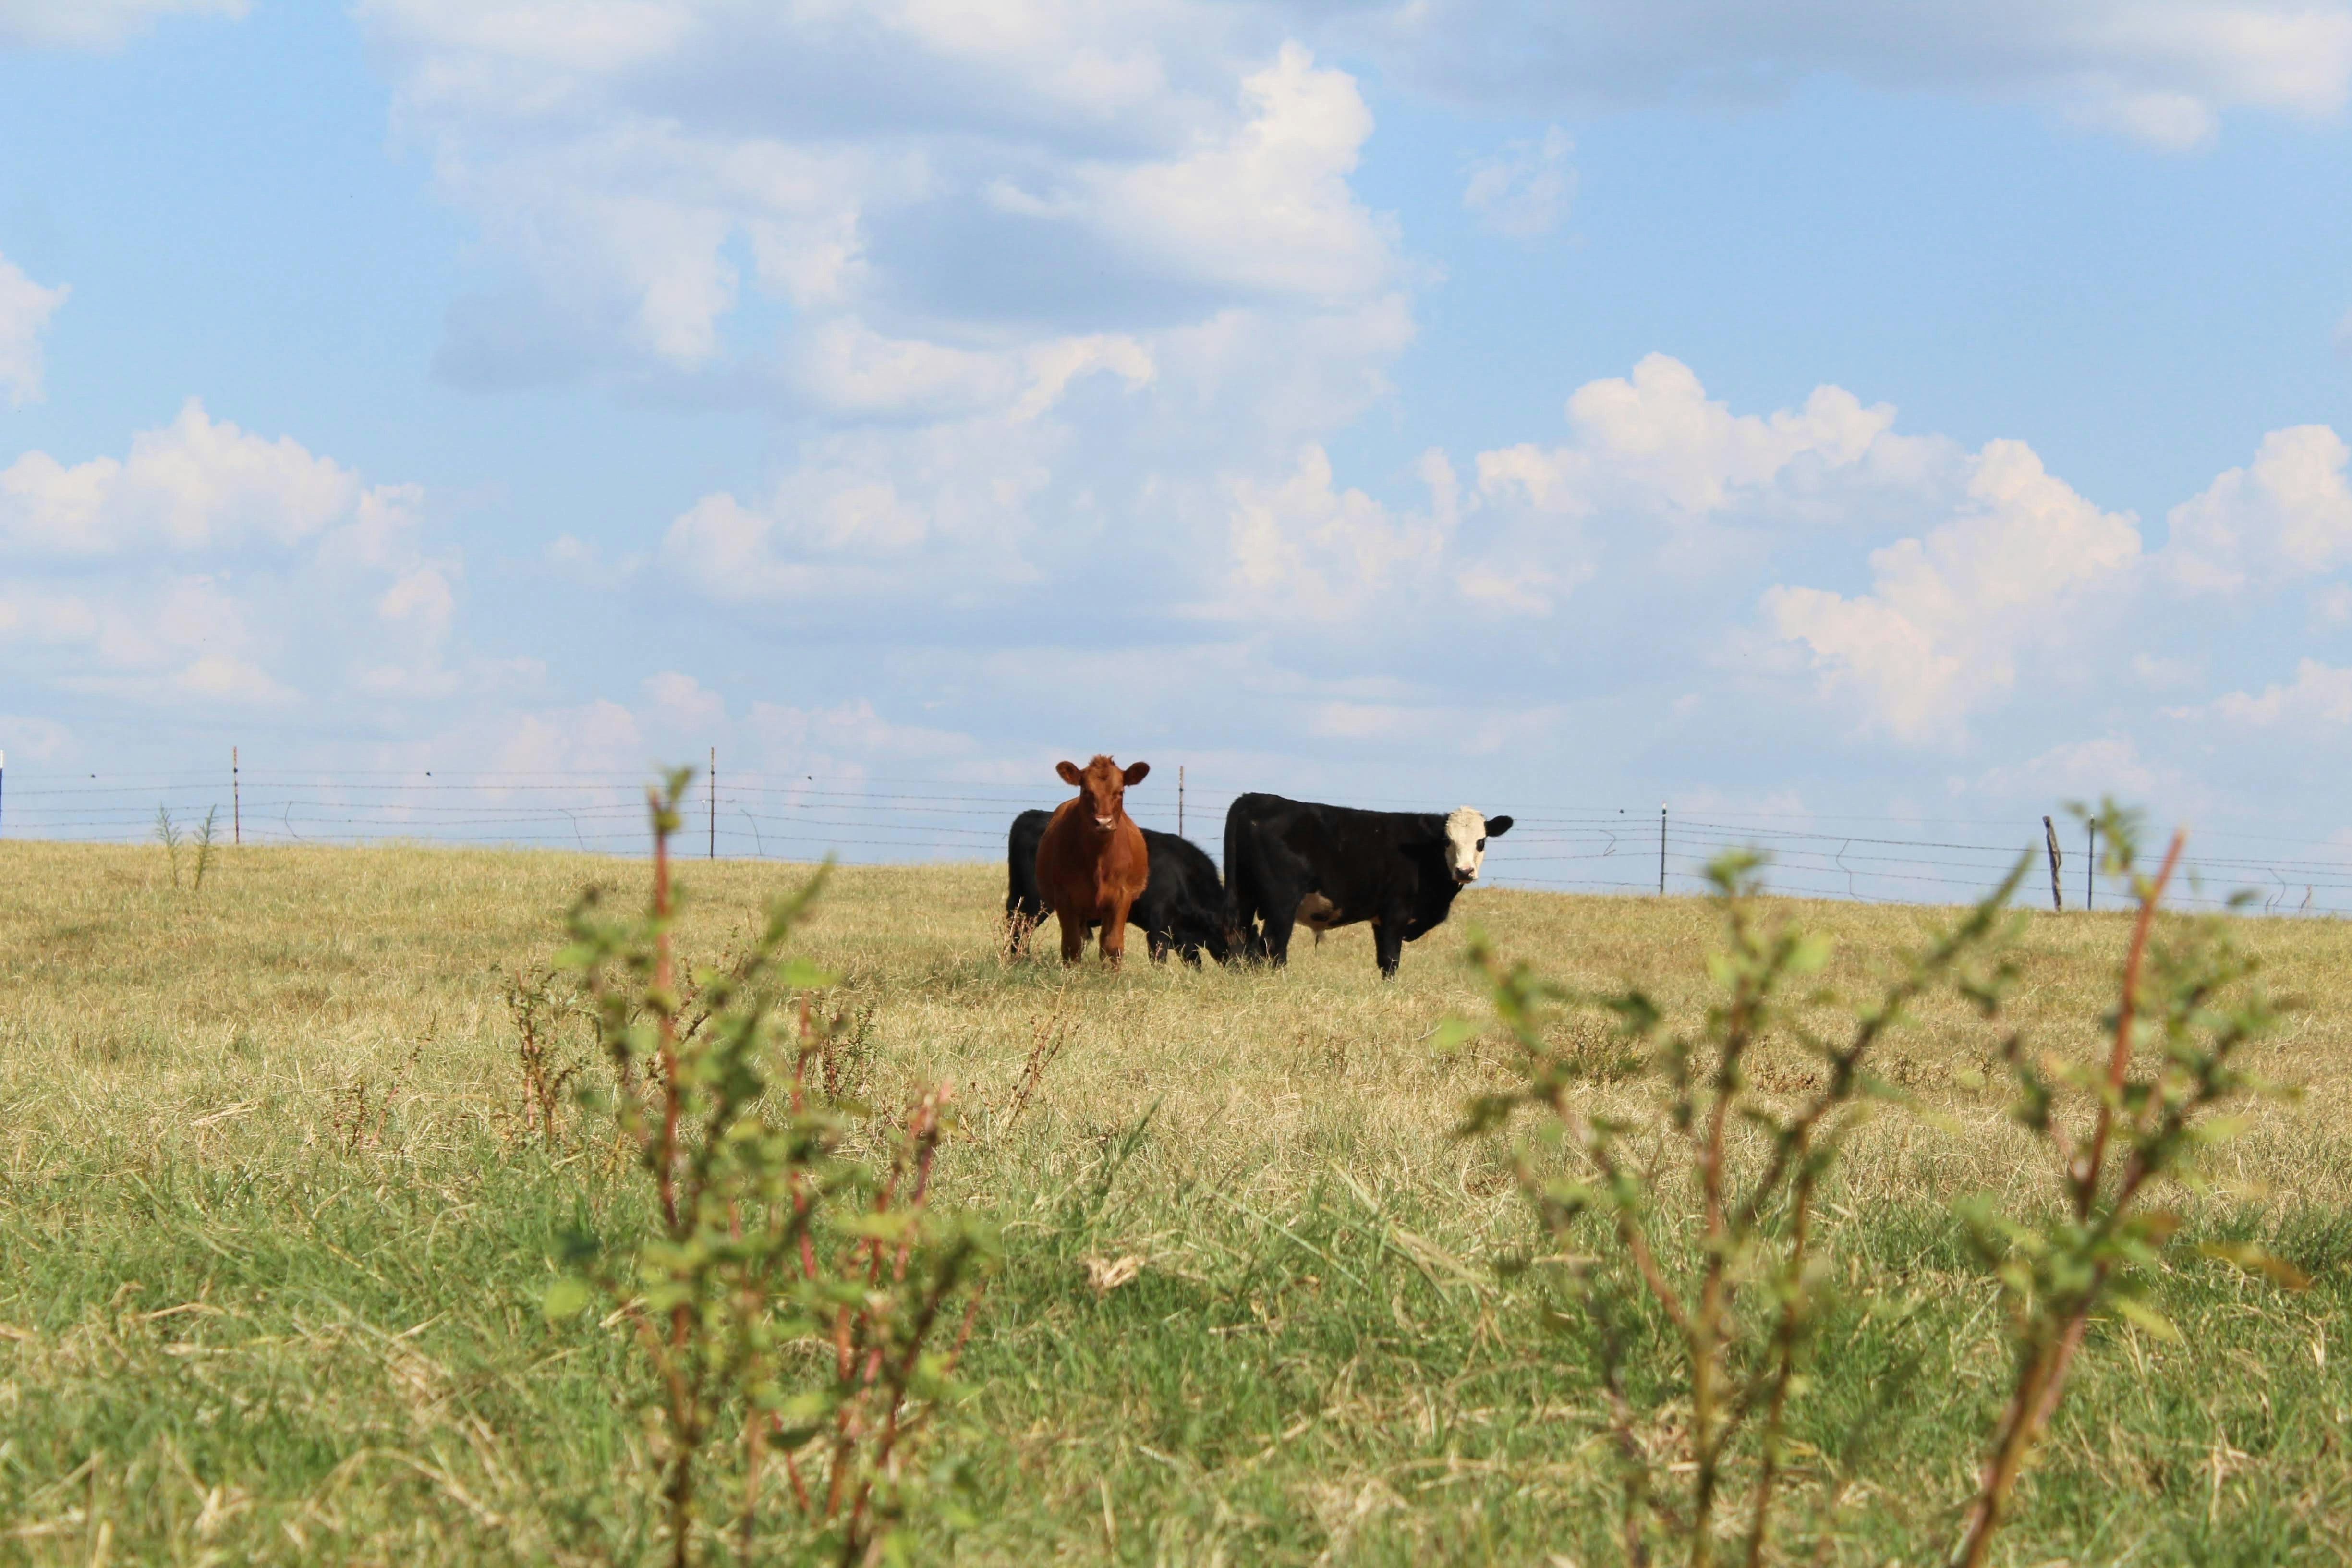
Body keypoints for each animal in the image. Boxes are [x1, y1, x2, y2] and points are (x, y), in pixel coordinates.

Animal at [1006, 810, 1235, 965]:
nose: (1242, 968)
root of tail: (1032, 815)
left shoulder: (1183, 937)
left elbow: (1195, 962)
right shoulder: (1158, 929)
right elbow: (1159, 959)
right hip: (1036, 901)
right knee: (1021, 928)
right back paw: (1021, 960)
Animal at [1033, 756, 1152, 966]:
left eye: (1120, 792)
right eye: (1087, 791)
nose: (1103, 822)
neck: (1099, 859)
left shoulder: (1122, 898)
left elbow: (1112, 946)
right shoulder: (1065, 897)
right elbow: (1072, 946)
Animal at [1223, 794, 1514, 978]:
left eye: (1481, 842)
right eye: (1447, 841)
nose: (1464, 871)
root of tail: (1254, 798)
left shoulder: (1380, 918)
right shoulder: (1396, 912)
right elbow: (1390, 959)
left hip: (1244, 895)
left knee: (1240, 937)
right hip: (1282, 901)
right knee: (1273, 945)